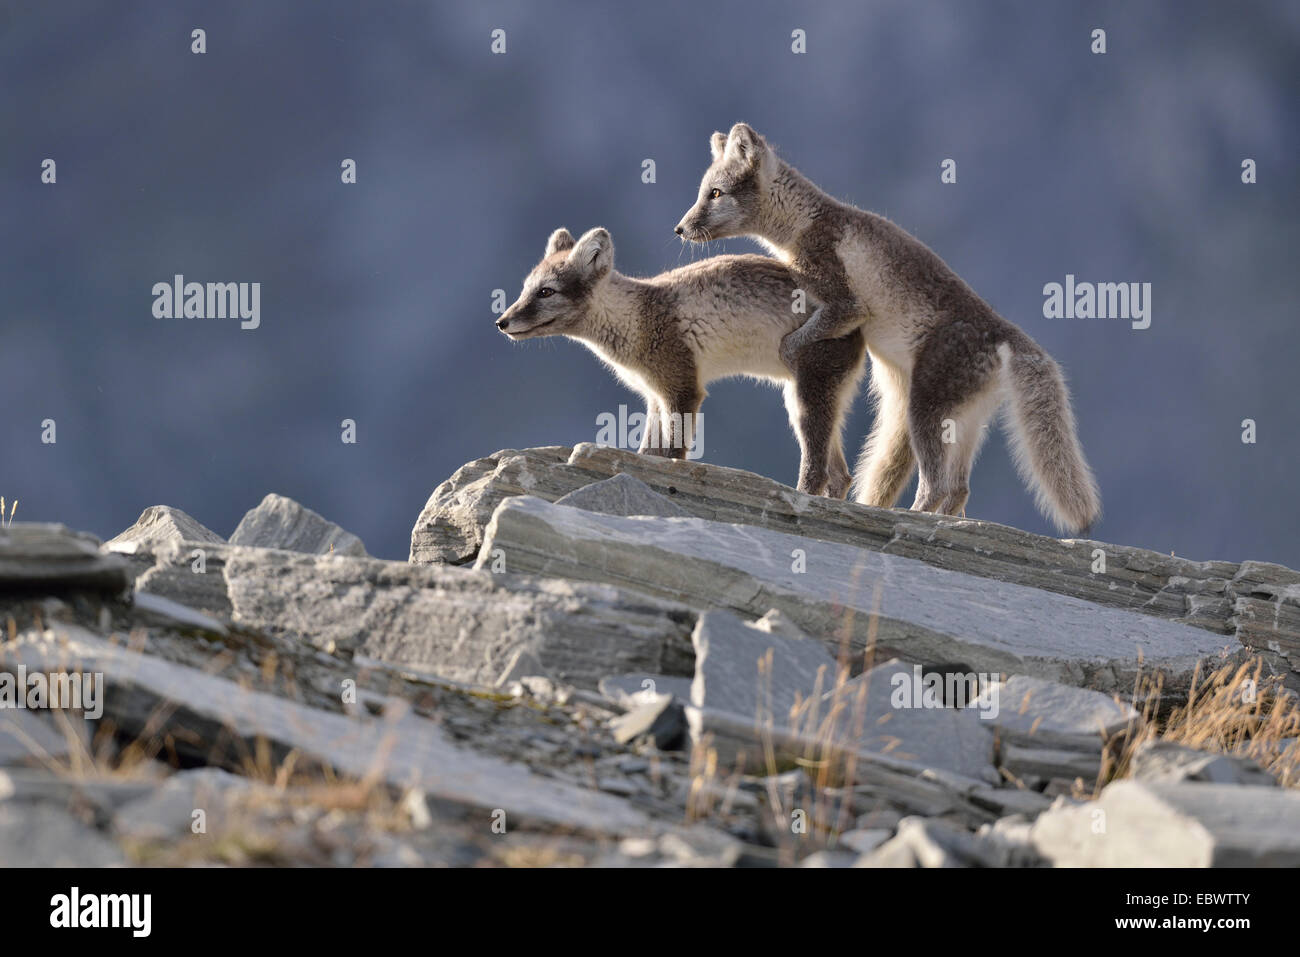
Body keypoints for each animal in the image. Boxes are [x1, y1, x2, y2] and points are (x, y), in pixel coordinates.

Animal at [496, 226, 866, 497]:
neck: (637, 317)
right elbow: (649, 453)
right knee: (841, 476)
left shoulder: (682, 390)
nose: (501, 322)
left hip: (805, 401)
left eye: (546, 292)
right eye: (525, 289)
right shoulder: (654, 397)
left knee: (818, 470)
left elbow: (675, 454)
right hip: (804, 400)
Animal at [674, 123, 1101, 535]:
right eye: (702, 193)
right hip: (962, 424)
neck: (805, 222)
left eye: (714, 193)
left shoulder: (846, 303)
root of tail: (1006, 333)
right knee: (959, 489)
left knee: (937, 486)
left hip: (925, 410)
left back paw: (914, 518)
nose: (679, 229)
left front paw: (789, 349)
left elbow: (803, 335)